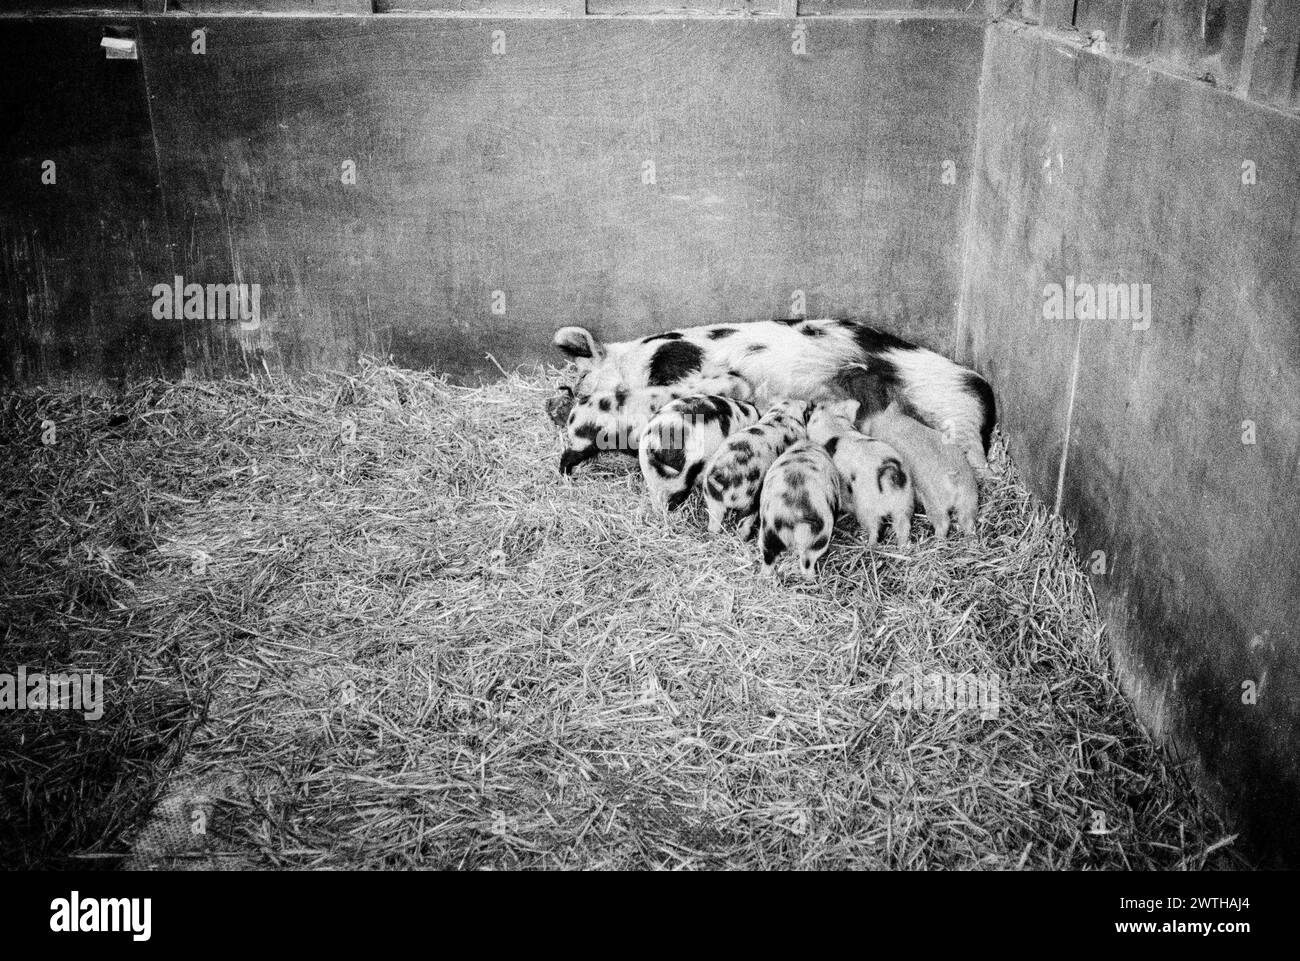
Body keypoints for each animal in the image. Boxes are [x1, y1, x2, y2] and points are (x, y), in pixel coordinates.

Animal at [701, 398, 810, 537]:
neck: (782, 416)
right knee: (744, 522)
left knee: (714, 524)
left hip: (712, 500)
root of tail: (720, 475)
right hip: (749, 499)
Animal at [758, 441, 841, 581]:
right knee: (806, 562)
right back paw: (812, 579)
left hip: (767, 533)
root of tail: (792, 513)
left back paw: (765, 576)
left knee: (768, 558)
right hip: (817, 537)